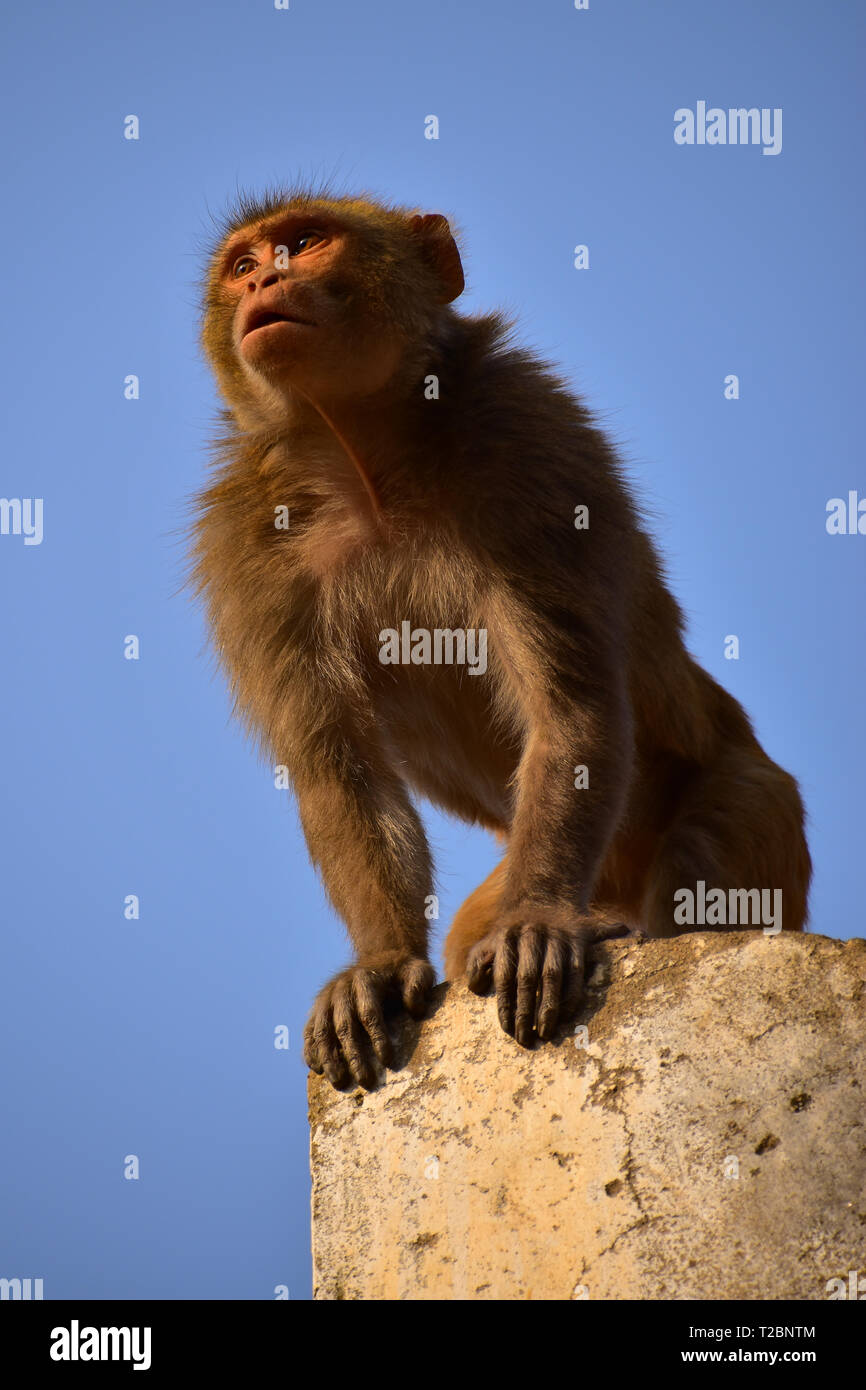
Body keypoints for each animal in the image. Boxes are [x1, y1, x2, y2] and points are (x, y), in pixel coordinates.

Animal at [191, 186, 811, 1091]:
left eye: (304, 243)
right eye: (241, 264)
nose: (263, 281)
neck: (371, 463)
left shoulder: (536, 444)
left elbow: (570, 707)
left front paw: (537, 920)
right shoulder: (247, 549)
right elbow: (337, 766)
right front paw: (381, 962)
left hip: (753, 800)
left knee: (708, 865)